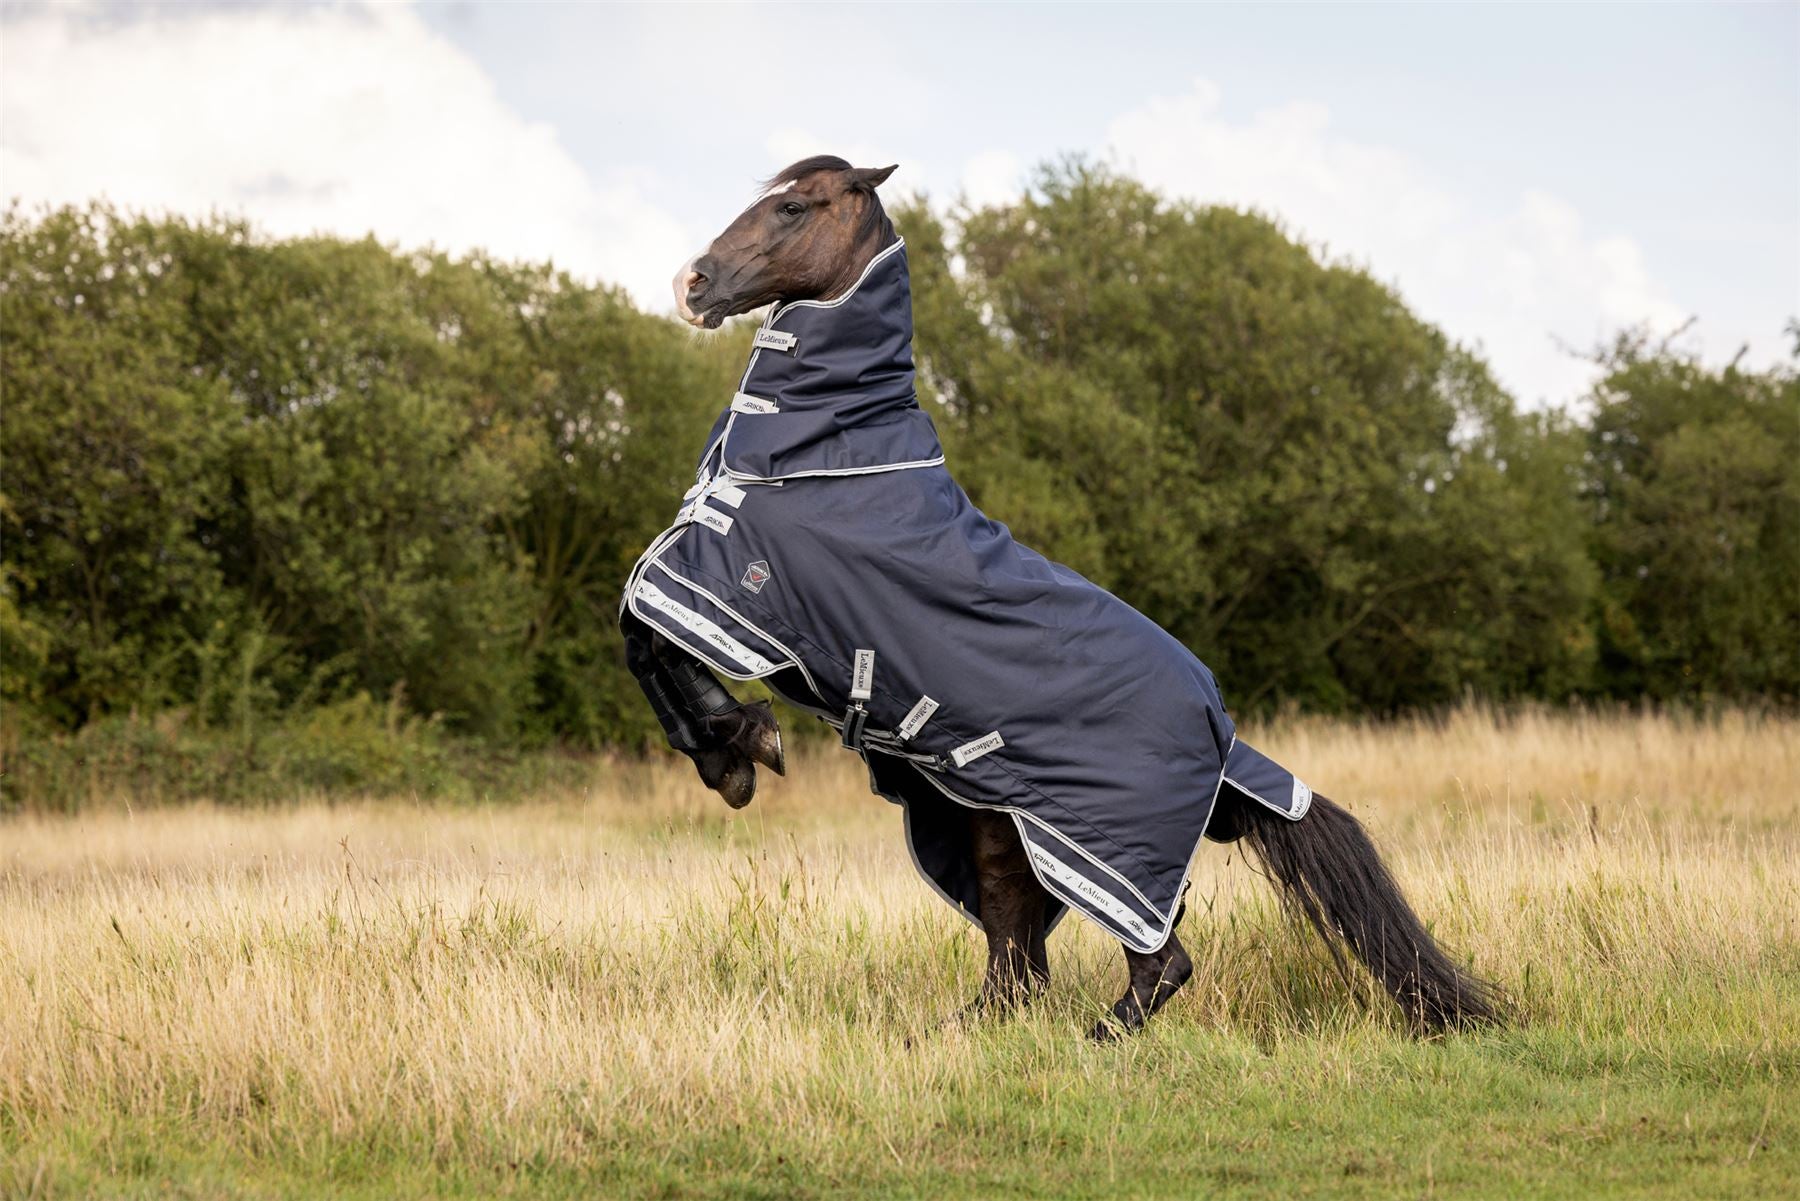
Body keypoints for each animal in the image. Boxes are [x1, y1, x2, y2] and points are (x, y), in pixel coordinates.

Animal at [620, 155, 1500, 1040]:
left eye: (794, 207)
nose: (690, 283)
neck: (822, 450)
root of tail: (1220, 733)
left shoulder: (730, 584)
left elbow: (639, 626)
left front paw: (741, 746)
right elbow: (638, 638)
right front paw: (726, 753)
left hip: (1103, 849)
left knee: (1154, 957)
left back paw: (1098, 1038)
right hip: (1000, 816)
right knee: (1016, 940)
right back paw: (972, 1030)